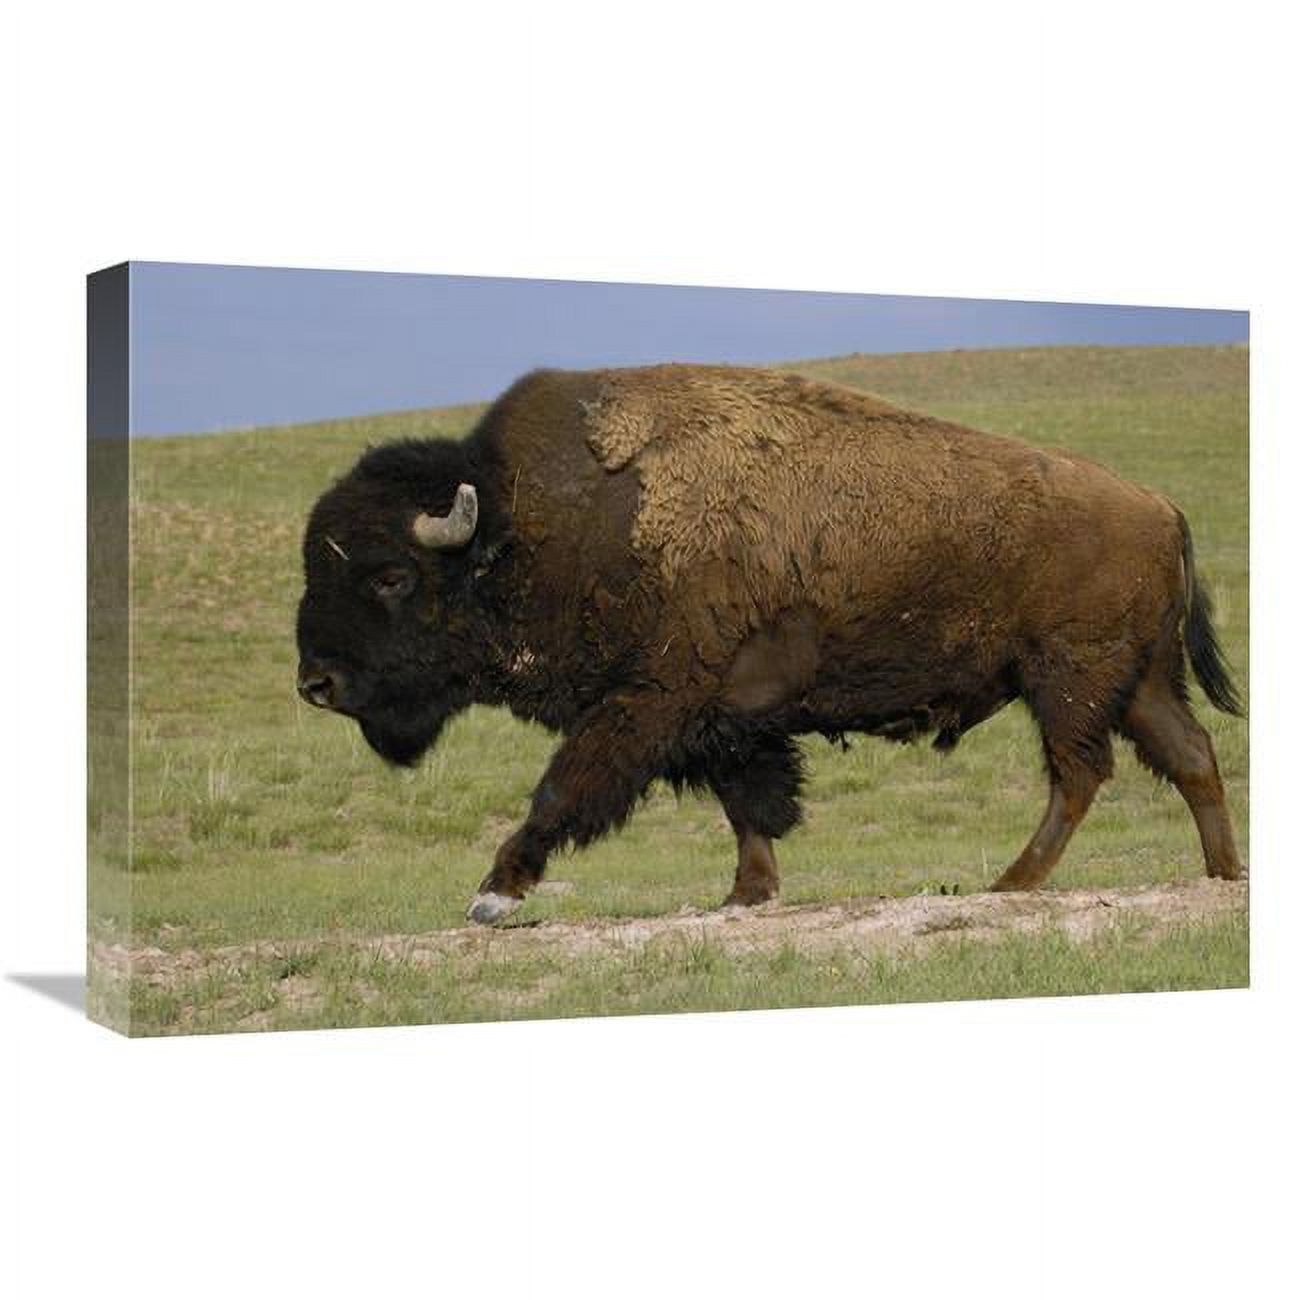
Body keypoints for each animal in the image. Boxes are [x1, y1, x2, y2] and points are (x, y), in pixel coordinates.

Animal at [296, 364, 1243, 924]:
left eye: (390, 576)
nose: (316, 683)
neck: (527, 521)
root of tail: (1160, 507)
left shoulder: (646, 704)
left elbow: (565, 787)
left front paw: (493, 892)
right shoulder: (723, 717)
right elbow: (747, 803)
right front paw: (747, 894)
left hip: (1070, 679)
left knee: (1081, 773)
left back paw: (1014, 883)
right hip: (1136, 681)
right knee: (1188, 755)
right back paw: (1221, 875)